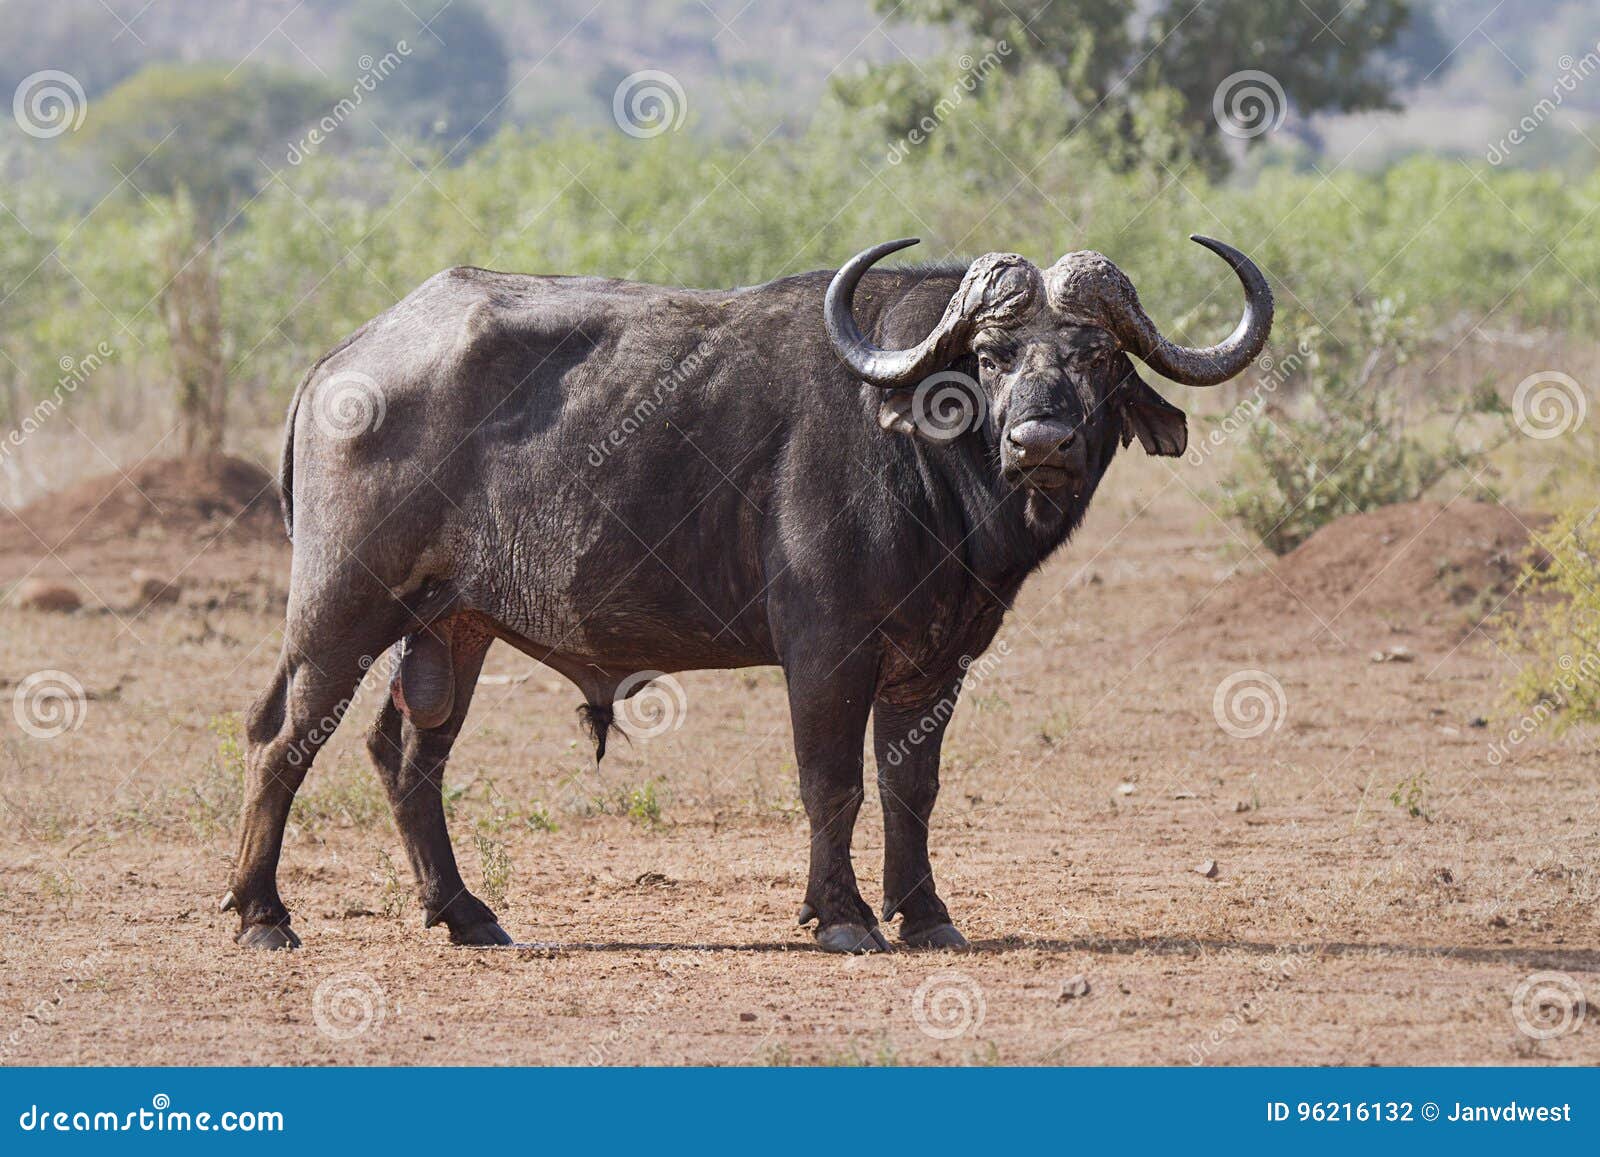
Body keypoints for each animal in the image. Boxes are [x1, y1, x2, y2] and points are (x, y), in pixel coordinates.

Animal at [222, 234, 1271, 953]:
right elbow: (831, 781)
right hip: (340, 611)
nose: (1040, 441)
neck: (924, 458)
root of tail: (341, 361)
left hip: (454, 625)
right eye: (993, 355)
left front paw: (925, 912)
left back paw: (465, 912)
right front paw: (842, 916)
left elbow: (913, 786)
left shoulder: (936, 661)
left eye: (1096, 356)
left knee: (407, 754)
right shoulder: (826, 649)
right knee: (282, 739)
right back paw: (262, 912)